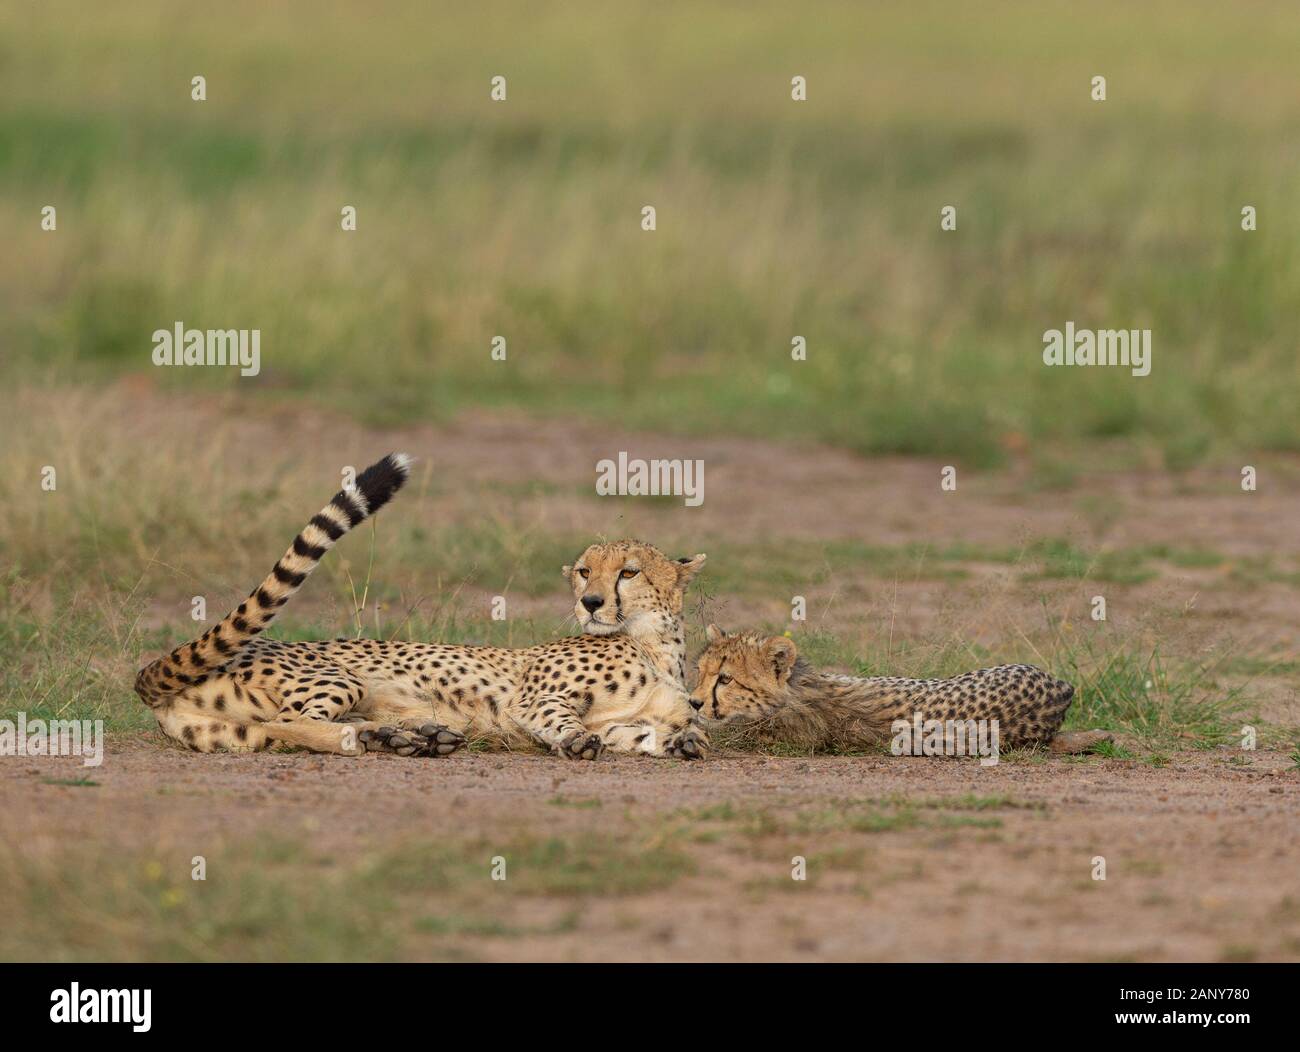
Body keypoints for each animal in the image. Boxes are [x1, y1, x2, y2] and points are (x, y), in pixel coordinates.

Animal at [134, 453, 709, 761]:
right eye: (586, 571)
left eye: (629, 572)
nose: (590, 603)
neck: (653, 642)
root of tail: (150, 679)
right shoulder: (533, 700)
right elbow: (560, 719)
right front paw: (574, 742)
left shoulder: (625, 720)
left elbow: (652, 730)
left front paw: (682, 742)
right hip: (338, 678)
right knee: (286, 723)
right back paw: (375, 737)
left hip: (235, 730)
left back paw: (409, 735)